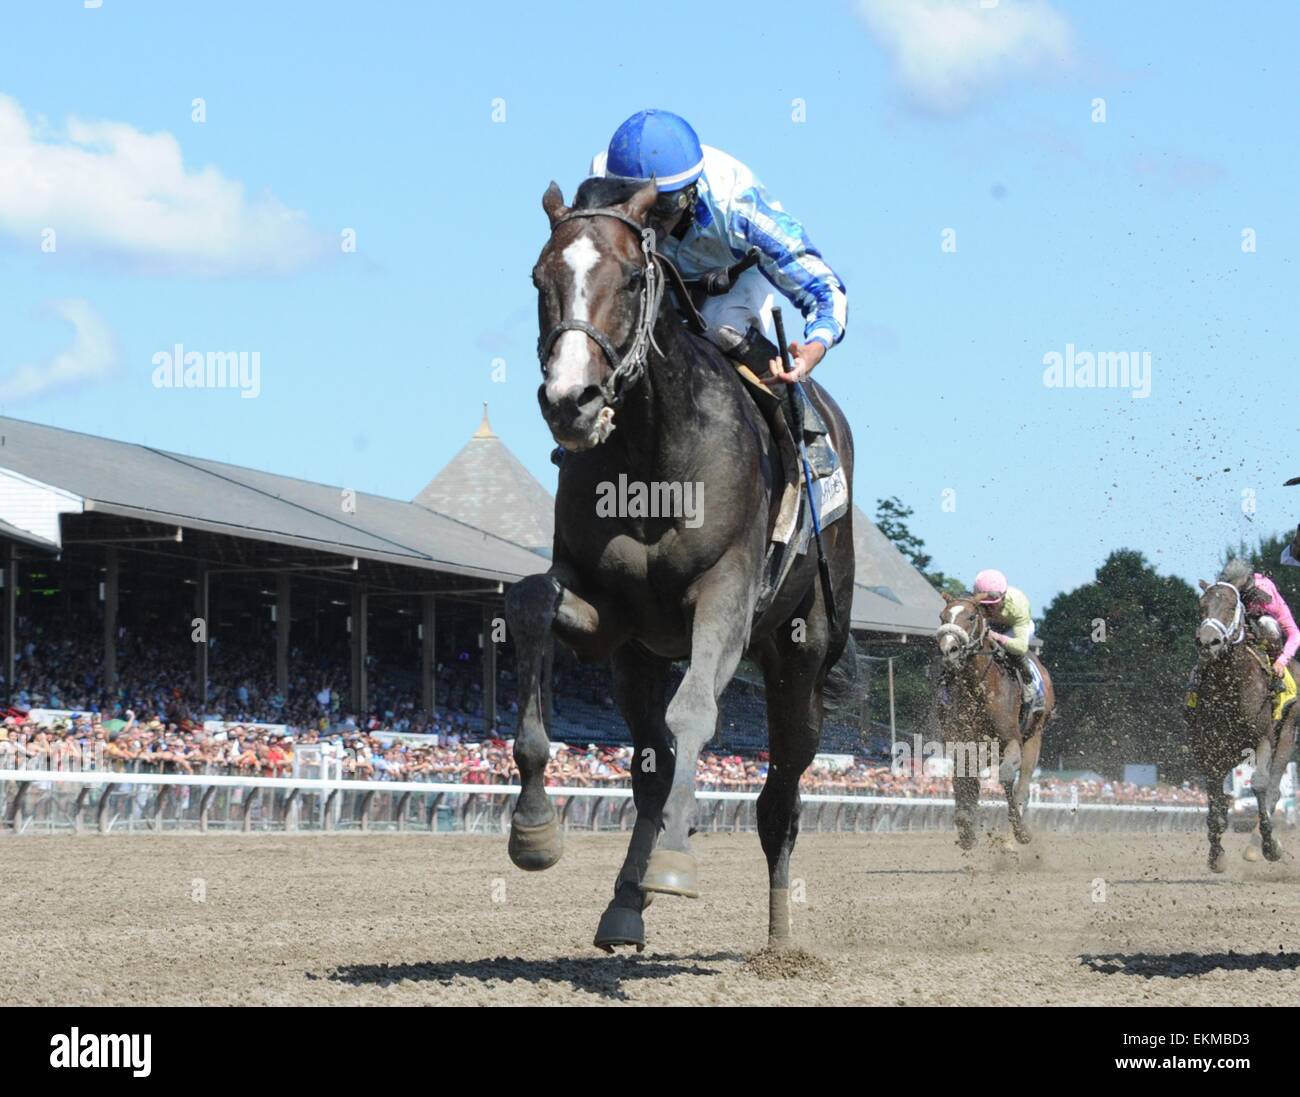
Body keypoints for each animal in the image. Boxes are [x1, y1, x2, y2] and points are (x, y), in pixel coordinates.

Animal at [504, 175, 856, 952]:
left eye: (634, 279)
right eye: (540, 278)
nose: (571, 401)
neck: (653, 455)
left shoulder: (726, 594)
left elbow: (695, 710)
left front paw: (673, 863)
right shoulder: (610, 616)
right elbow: (531, 603)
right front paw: (535, 830)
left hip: (802, 656)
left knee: (779, 797)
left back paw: (780, 941)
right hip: (639, 660)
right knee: (653, 767)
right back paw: (623, 906)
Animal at [934, 593, 1055, 851]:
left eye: (971, 616)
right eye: (942, 617)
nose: (949, 650)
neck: (979, 688)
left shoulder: (1011, 739)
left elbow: (1008, 777)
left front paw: (1020, 831)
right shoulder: (962, 743)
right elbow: (962, 781)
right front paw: (966, 829)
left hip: (1034, 736)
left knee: (1021, 784)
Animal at [1187, 578, 1298, 872]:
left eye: (1230, 606)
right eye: (1201, 606)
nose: (1208, 641)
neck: (1231, 686)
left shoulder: (1263, 737)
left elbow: (1259, 784)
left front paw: (1270, 845)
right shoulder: (1211, 747)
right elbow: (1215, 794)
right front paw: (1216, 854)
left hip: (1287, 733)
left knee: (1274, 787)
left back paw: (1258, 844)